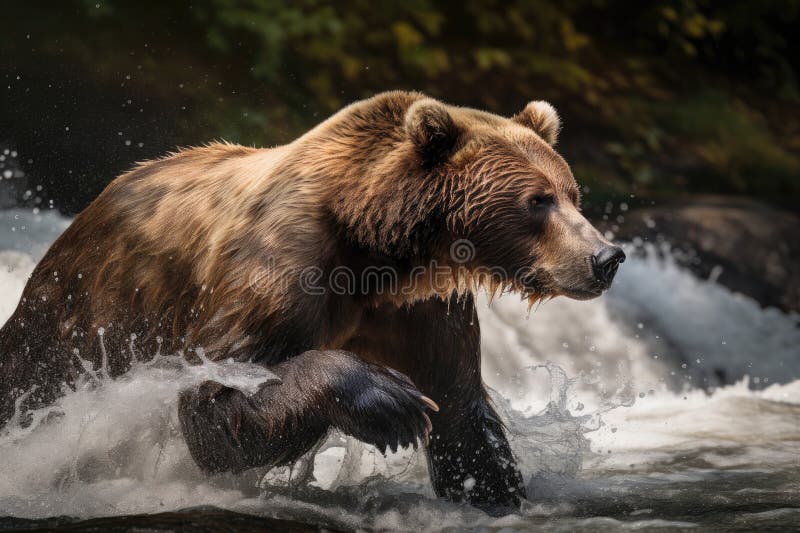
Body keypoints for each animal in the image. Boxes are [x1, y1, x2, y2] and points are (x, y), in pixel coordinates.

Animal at [0, 91, 624, 514]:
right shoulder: (279, 270)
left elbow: (460, 405)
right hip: (83, 312)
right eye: (537, 200)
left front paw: (491, 490)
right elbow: (216, 399)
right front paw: (389, 398)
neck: (381, 251)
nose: (606, 256)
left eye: (572, 194)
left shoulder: (423, 307)